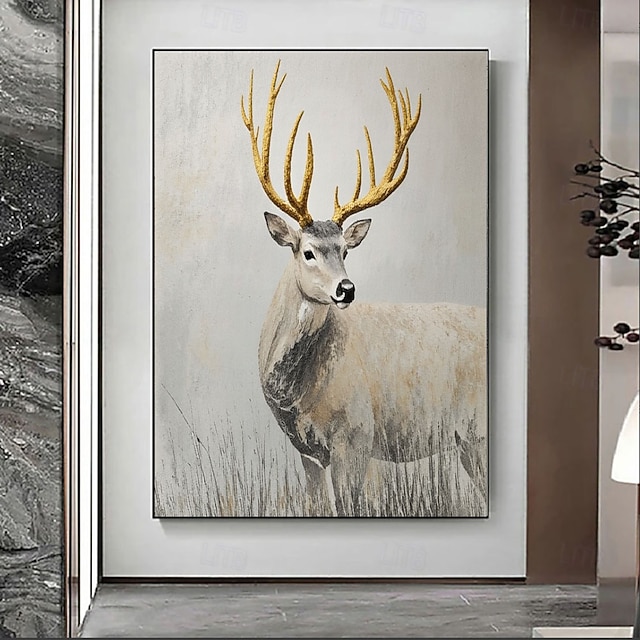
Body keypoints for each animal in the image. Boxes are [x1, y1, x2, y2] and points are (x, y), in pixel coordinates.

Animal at [241, 61, 487, 517]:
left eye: (344, 250)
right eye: (307, 251)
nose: (346, 289)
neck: (297, 393)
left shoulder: (354, 436)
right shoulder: (307, 453)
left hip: (475, 430)